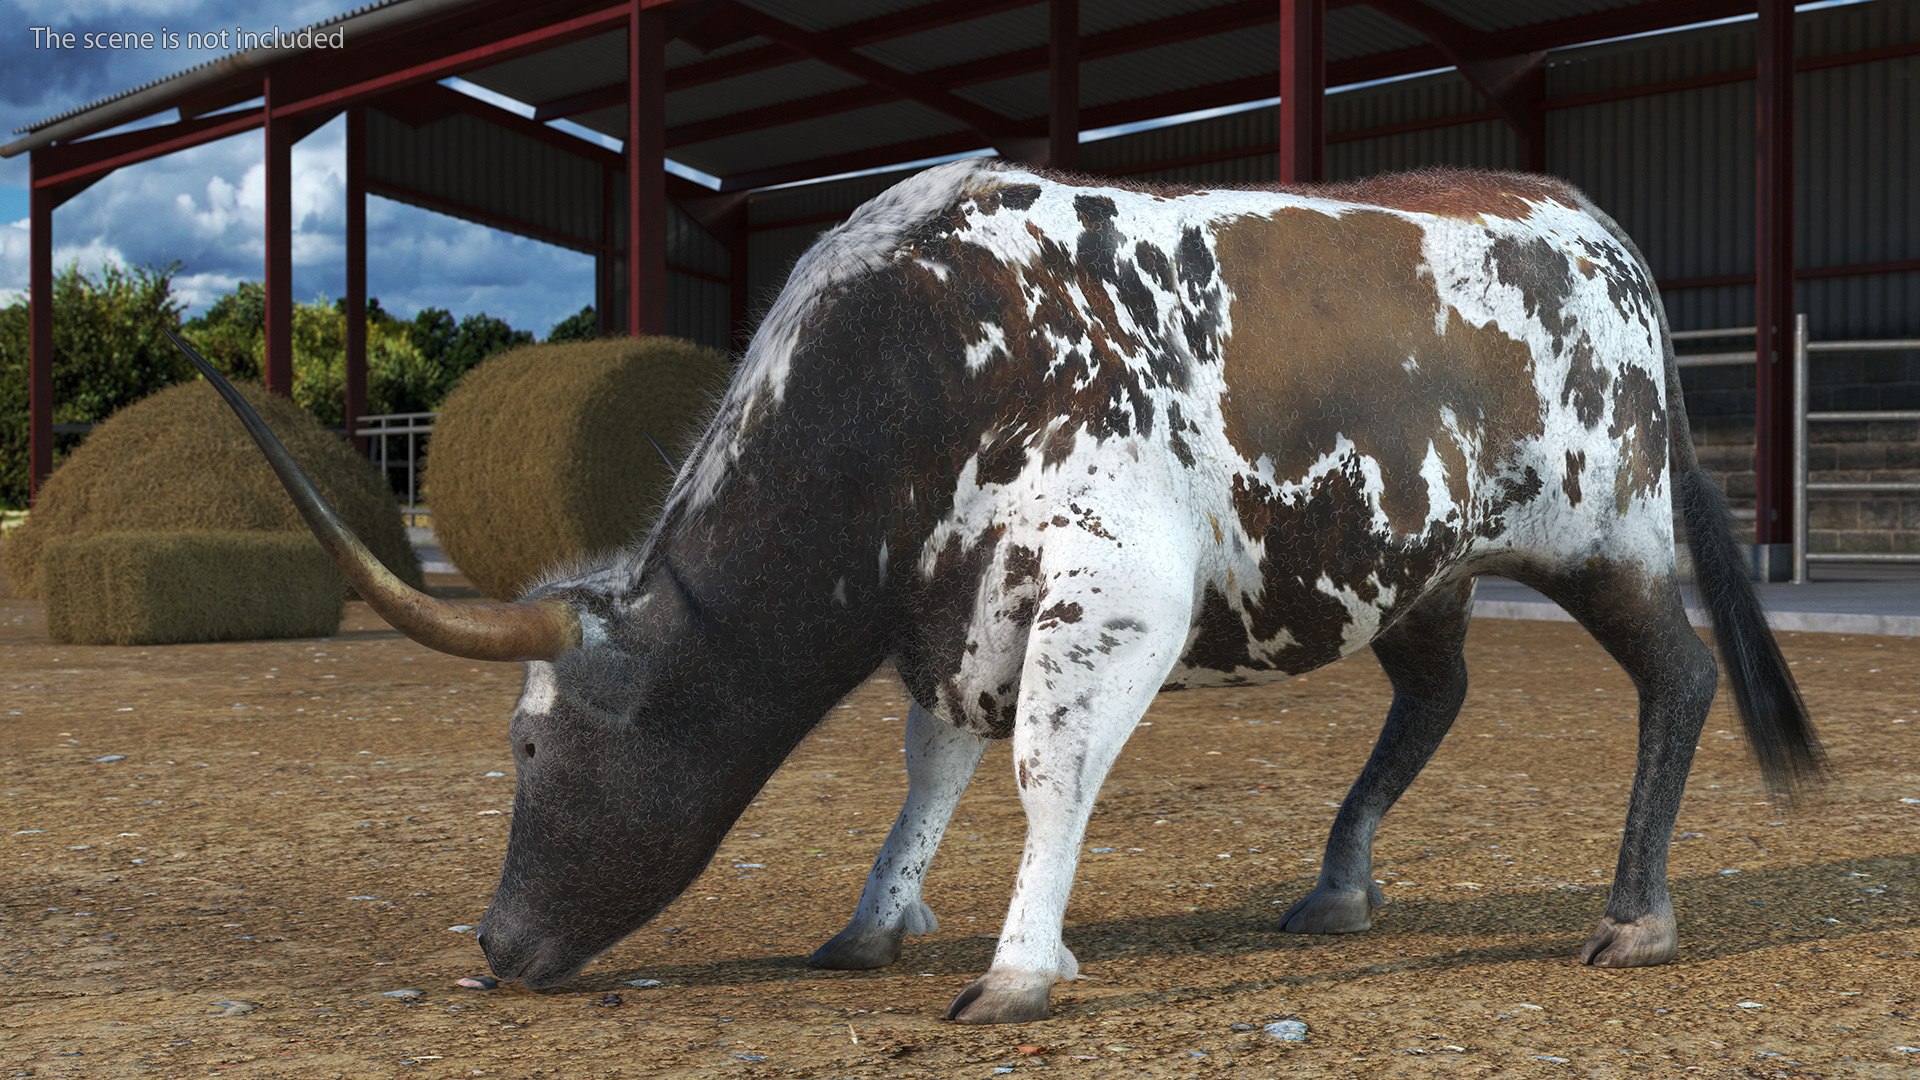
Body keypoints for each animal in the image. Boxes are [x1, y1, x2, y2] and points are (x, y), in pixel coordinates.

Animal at [171, 159, 1822, 1025]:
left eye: (527, 744)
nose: (494, 946)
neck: (924, 364)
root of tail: (1581, 212)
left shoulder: (1114, 589)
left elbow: (1043, 763)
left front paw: (1020, 967)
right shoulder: (960, 614)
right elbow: (936, 766)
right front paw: (876, 918)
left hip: (1605, 535)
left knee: (1678, 676)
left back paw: (1633, 916)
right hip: (1420, 564)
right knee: (1435, 695)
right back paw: (1340, 883)